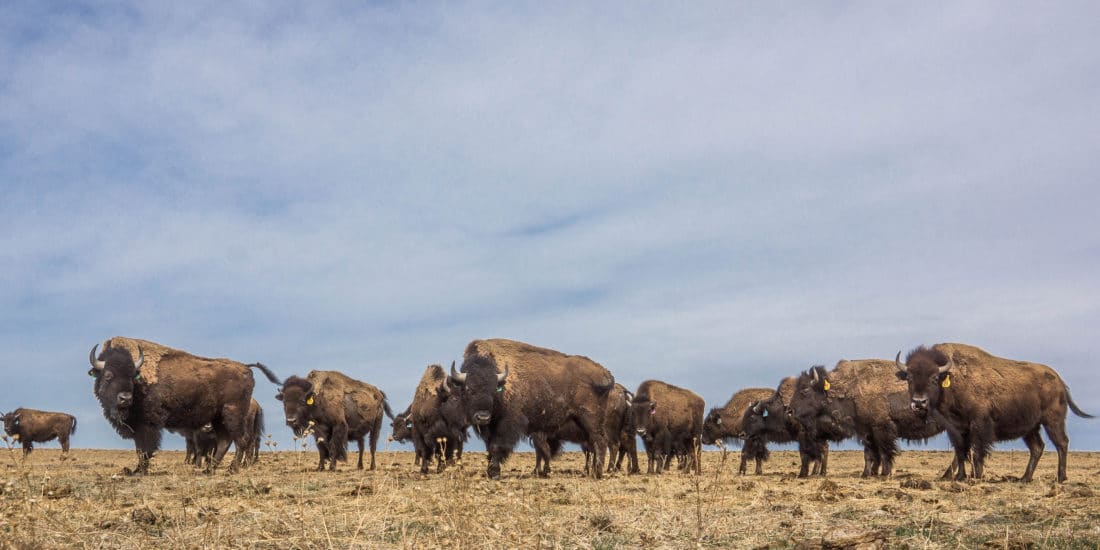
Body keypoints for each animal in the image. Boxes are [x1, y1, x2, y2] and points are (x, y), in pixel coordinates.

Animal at [89, 337, 281, 474]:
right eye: (108, 375)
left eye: (131, 376)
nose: (125, 398)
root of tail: (245, 368)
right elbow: (140, 449)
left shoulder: (147, 425)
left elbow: (144, 449)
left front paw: (138, 471)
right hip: (218, 418)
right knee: (225, 441)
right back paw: (208, 470)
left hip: (233, 414)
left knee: (242, 440)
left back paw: (231, 469)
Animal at [447, 338, 615, 480]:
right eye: (468, 389)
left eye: (493, 390)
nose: (482, 417)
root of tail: (604, 372)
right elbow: (490, 447)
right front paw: (492, 471)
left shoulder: (508, 424)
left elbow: (497, 446)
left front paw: (494, 472)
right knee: (594, 443)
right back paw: (593, 472)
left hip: (590, 418)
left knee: (600, 440)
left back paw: (597, 473)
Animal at [896, 343, 1094, 482]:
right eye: (910, 378)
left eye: (934, 378)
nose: (919, 402)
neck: (952, 379)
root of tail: (1059, 381)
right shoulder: (956, 428)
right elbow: (960, 451)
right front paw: (960, 477)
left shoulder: (979, 424)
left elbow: (977, 451)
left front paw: (976, 476)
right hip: (1031, 428)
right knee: (1037, 447)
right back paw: (1024, 478)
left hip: (1052, 421)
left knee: (1061, 443)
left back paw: (1060, 478)